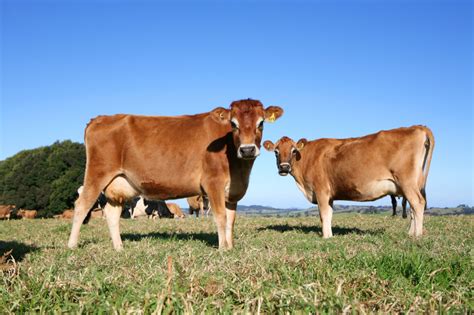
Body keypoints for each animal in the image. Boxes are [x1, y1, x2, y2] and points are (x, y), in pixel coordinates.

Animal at [68, 100, 284, 251]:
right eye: (233, 124)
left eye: (261, 123)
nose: (247, 150)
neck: (239, 169)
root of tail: (100, 118)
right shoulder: (213, 182)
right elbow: (221, 216)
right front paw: (223, 248)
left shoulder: (232, 190)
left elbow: (231, 219)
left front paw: (230, 247)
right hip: (97, 174)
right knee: (81, 206)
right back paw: (72, 245)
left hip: (118, 183)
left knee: (112, 214)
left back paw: (119, 247)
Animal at [264, 126, 436, 239]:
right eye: (276, 152)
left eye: (293, 150)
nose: (284, 167)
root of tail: (417, 127)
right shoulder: (330, 195)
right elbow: (329, 215)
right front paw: (330, 235)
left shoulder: (321, 191)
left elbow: (323, 215)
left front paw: (325, 237)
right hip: (413, 183)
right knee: (414, 207)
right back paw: (411, 233)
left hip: (407, 181)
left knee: (418, 203)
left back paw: (417, 236)